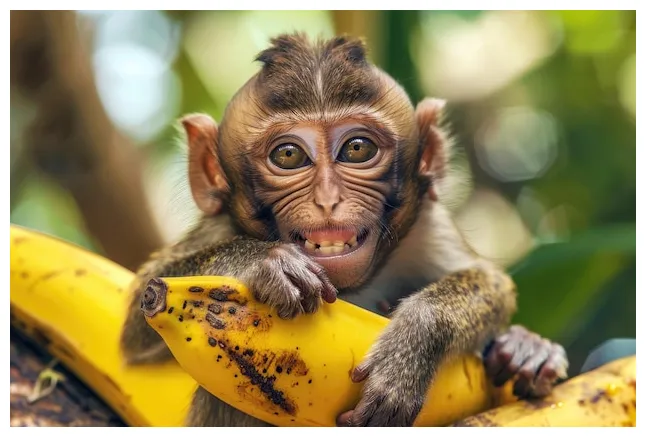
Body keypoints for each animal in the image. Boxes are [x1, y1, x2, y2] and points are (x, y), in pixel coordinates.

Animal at [119, 33, 568, 427]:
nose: (328, 198)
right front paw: (264, 262)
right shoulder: (217, 226)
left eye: (357, 148)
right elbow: (141, 316)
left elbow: (493, 283)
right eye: (288, 155)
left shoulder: (427, 226)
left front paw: (416, 343)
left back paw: (526, 356)